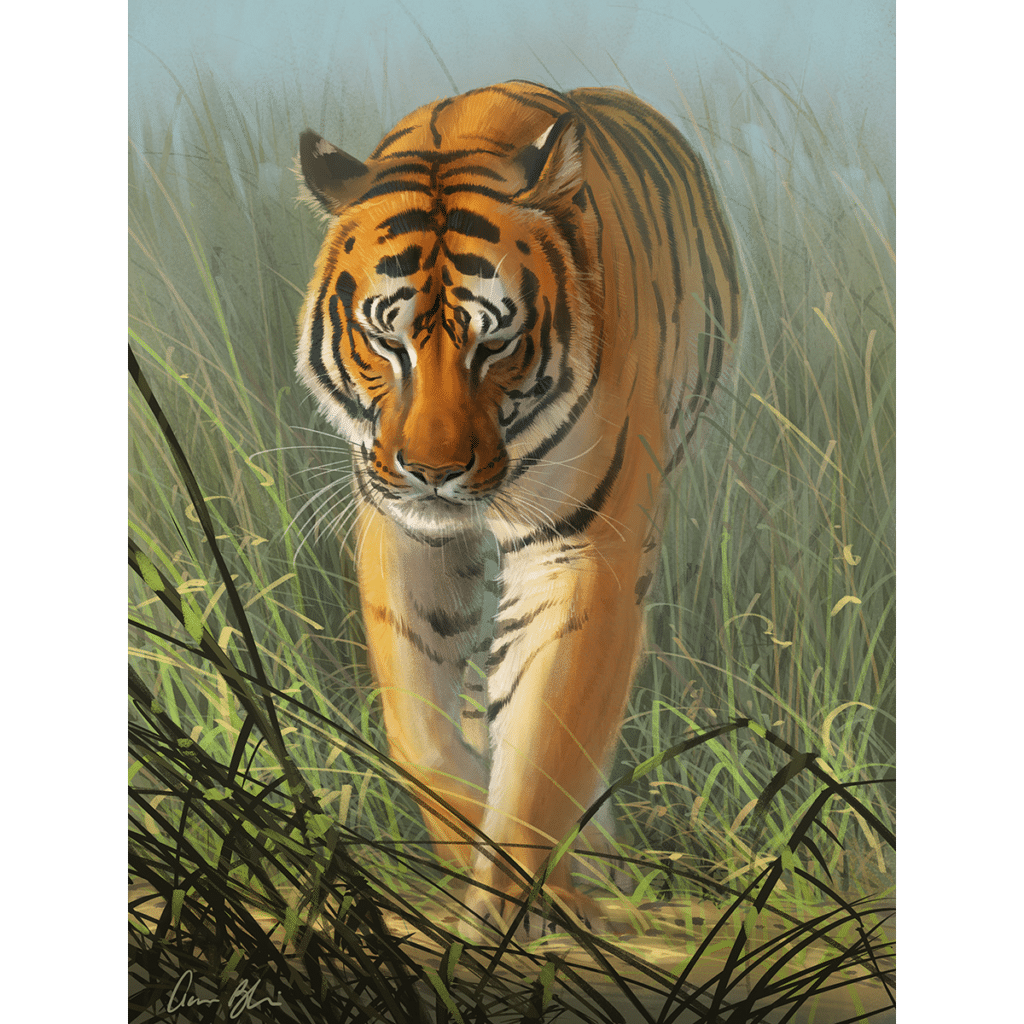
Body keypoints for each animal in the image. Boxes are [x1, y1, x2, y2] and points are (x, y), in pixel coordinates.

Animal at [295, 81, 740, 935]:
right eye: (386, 340)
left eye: (493, 345)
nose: (433, 472)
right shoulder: (404, 535)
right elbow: (420, 732)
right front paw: (468, 854)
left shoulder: (587, 547)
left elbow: (545, 737)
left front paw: (507, 906)